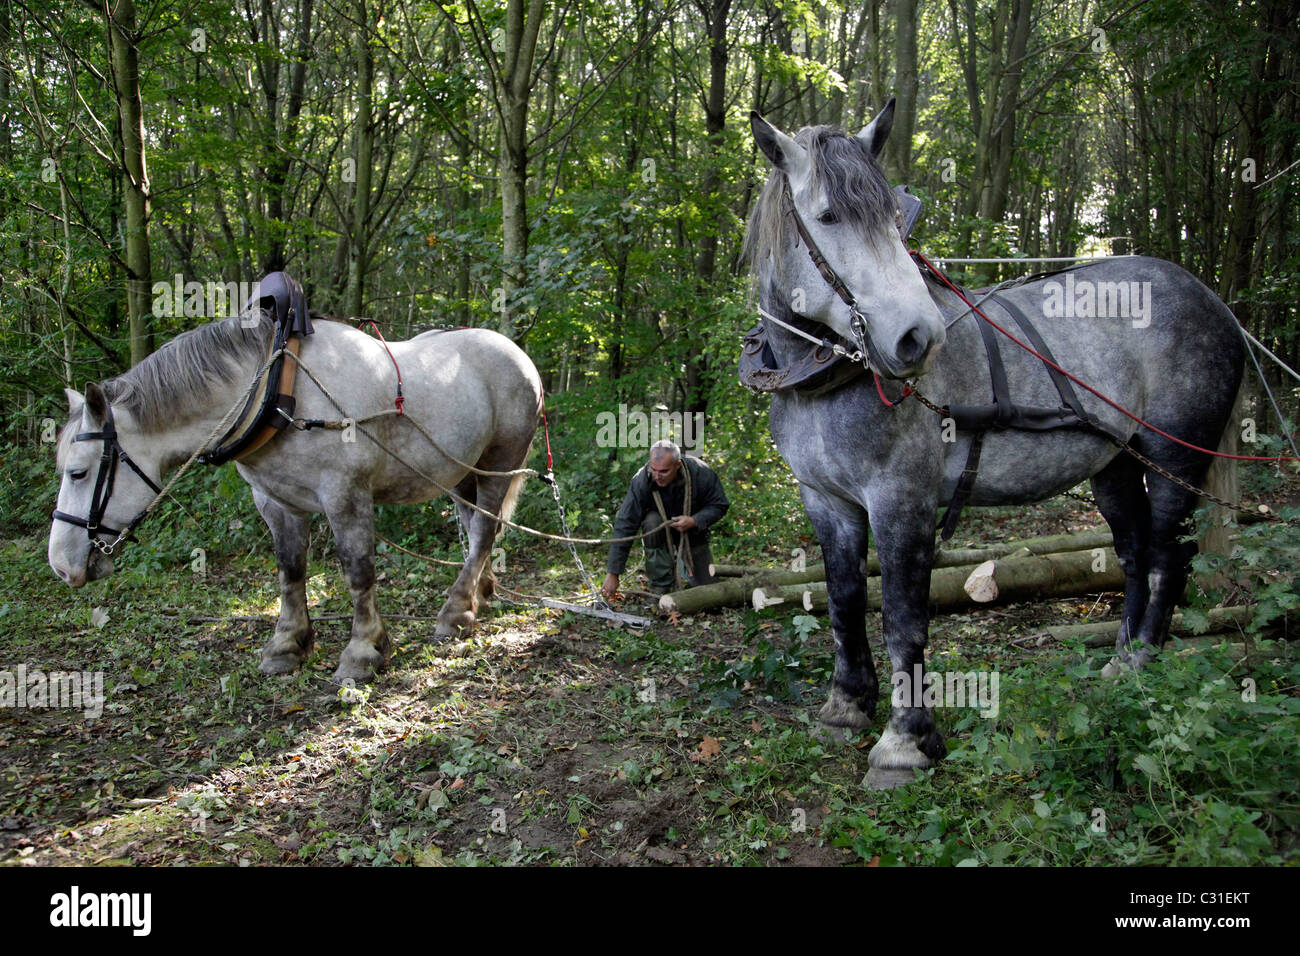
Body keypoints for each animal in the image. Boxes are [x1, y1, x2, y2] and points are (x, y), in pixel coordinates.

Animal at [48, 302, 543, 684]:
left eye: (78, 472)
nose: (60, 566)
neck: (278, 389)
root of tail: (518, 354)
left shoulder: (345, 494)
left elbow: (357, 572)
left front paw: (363, 651)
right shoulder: (275, 502)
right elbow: (290, 572)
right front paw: (287, 645)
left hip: (501, 461)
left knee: (485, 530)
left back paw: (456, 611)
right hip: (460, 471)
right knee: (476, 528)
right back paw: (480, 592)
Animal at [745, 100, 1245, 786]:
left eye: (893, 216)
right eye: (827, 217)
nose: (918, 337)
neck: (824, 379)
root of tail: (1209, 297)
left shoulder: (901, 498)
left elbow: (903, 616)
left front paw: (904, 743)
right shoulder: (826, 499)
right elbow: (845, 601)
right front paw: (846, 707)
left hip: (1176, 456)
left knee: (1170, 556)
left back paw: (1144, 665)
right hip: (1117, 463)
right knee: (1136, 552)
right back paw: (1119, 667)